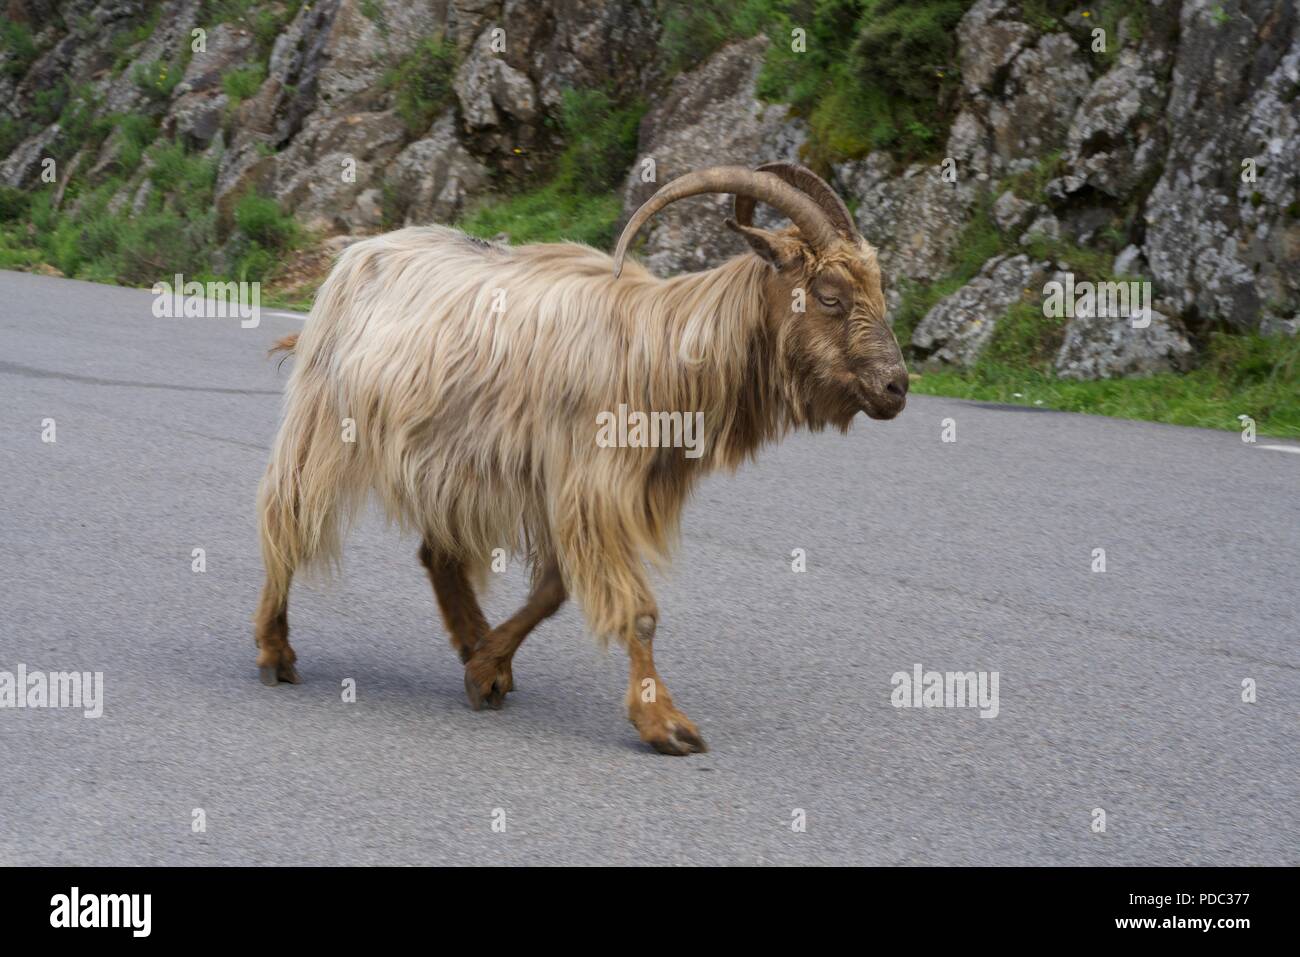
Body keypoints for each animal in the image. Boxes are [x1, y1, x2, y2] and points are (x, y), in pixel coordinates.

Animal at [253, 163, 908, 754]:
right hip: (325, 424)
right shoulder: (591, 483)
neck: (660, 349)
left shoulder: (570, 489)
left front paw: (487, 668)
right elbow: (637, 611)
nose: (897, 387)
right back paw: (274, 649)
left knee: (437, 551)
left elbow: (553, 591)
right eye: (829, 296)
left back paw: (472, 641)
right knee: (286, 517)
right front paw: (665, 724)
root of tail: (359, 253)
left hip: (447, 459)